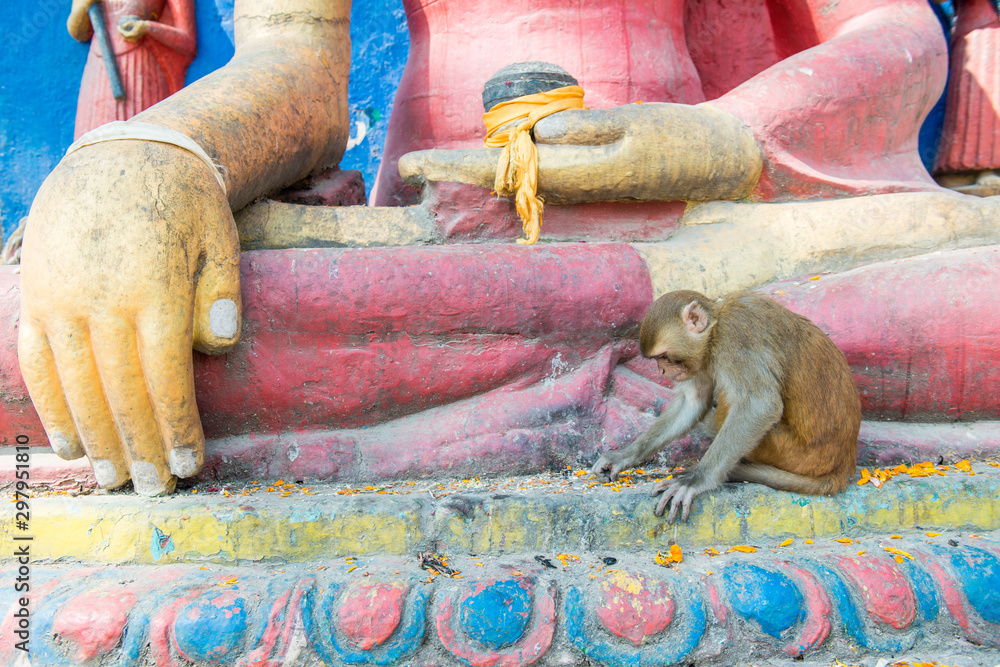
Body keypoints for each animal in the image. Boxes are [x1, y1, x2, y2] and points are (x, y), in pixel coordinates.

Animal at [593, 289, 861, 523]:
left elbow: (759, 406)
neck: (716, 327)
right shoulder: (700, 358)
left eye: (664, 357)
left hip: (792, 452)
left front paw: (696, 480)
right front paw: (624, 456)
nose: (662, 371)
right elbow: (693, 402)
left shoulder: (736, 339)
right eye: (658, 360)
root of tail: (844, 462)